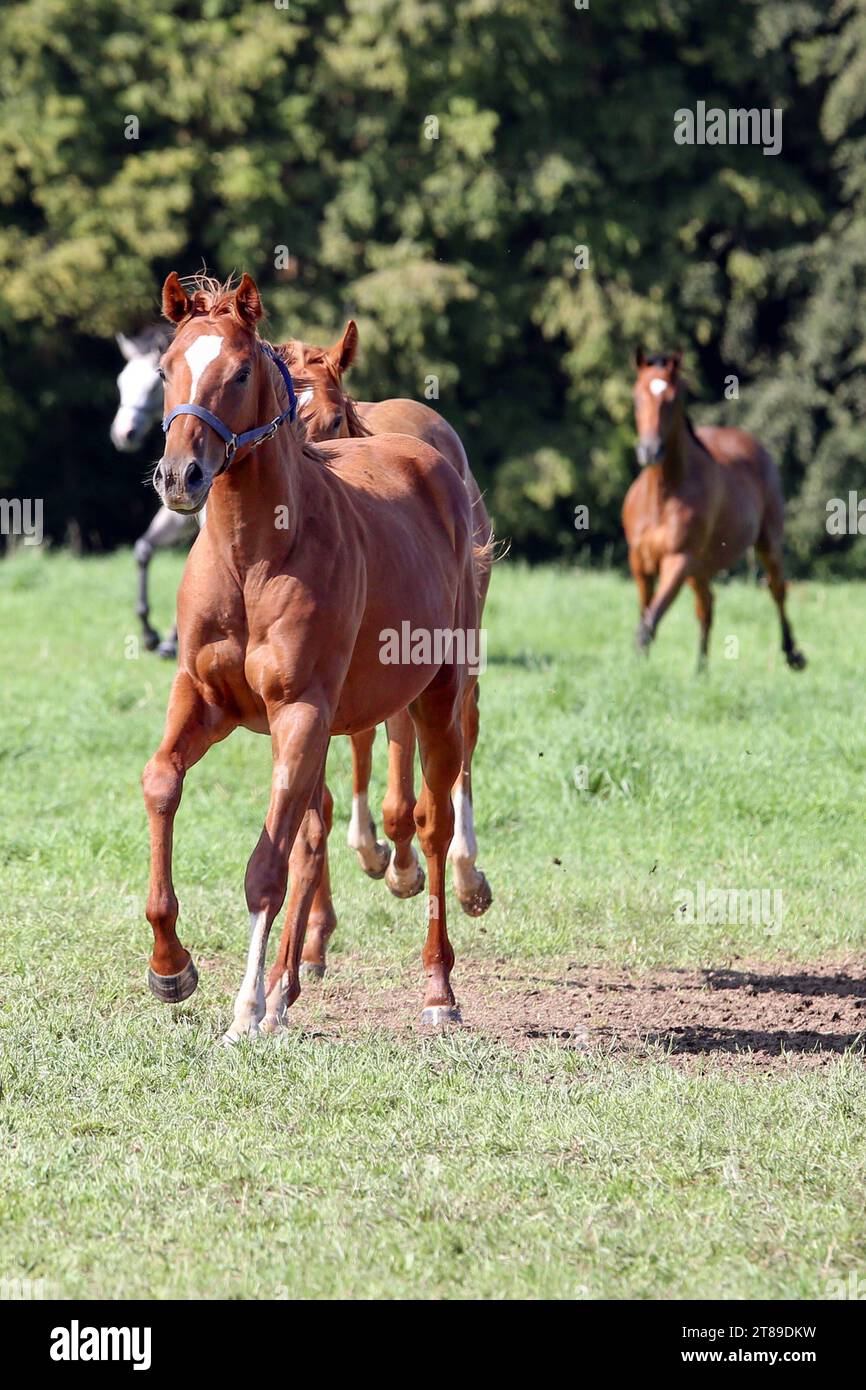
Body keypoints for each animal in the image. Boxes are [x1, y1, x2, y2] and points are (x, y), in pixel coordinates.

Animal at [112, 327, 195, 657]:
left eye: (151, 386)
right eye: (121, 382)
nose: (124, 434)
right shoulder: (182, 517)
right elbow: (144, 549)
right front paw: (151, 634)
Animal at [278, 323, 493, 976]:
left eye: (330, 421)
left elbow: (409, 794)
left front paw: (406, 867)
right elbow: (316, 801)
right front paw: (314, 937)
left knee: (460, 736)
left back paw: (460, 874)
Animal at [622, 349, 806, 671]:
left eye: (672, 398)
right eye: (636, 397)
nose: (650, 450)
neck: (662, 496)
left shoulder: (678, 560)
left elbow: (649, 624)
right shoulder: (640, 563)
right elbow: (645, 618)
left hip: (765, 543)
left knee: (777, 590)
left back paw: (792, 653)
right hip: (699, 568)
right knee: (707, 607)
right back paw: (701, 672)